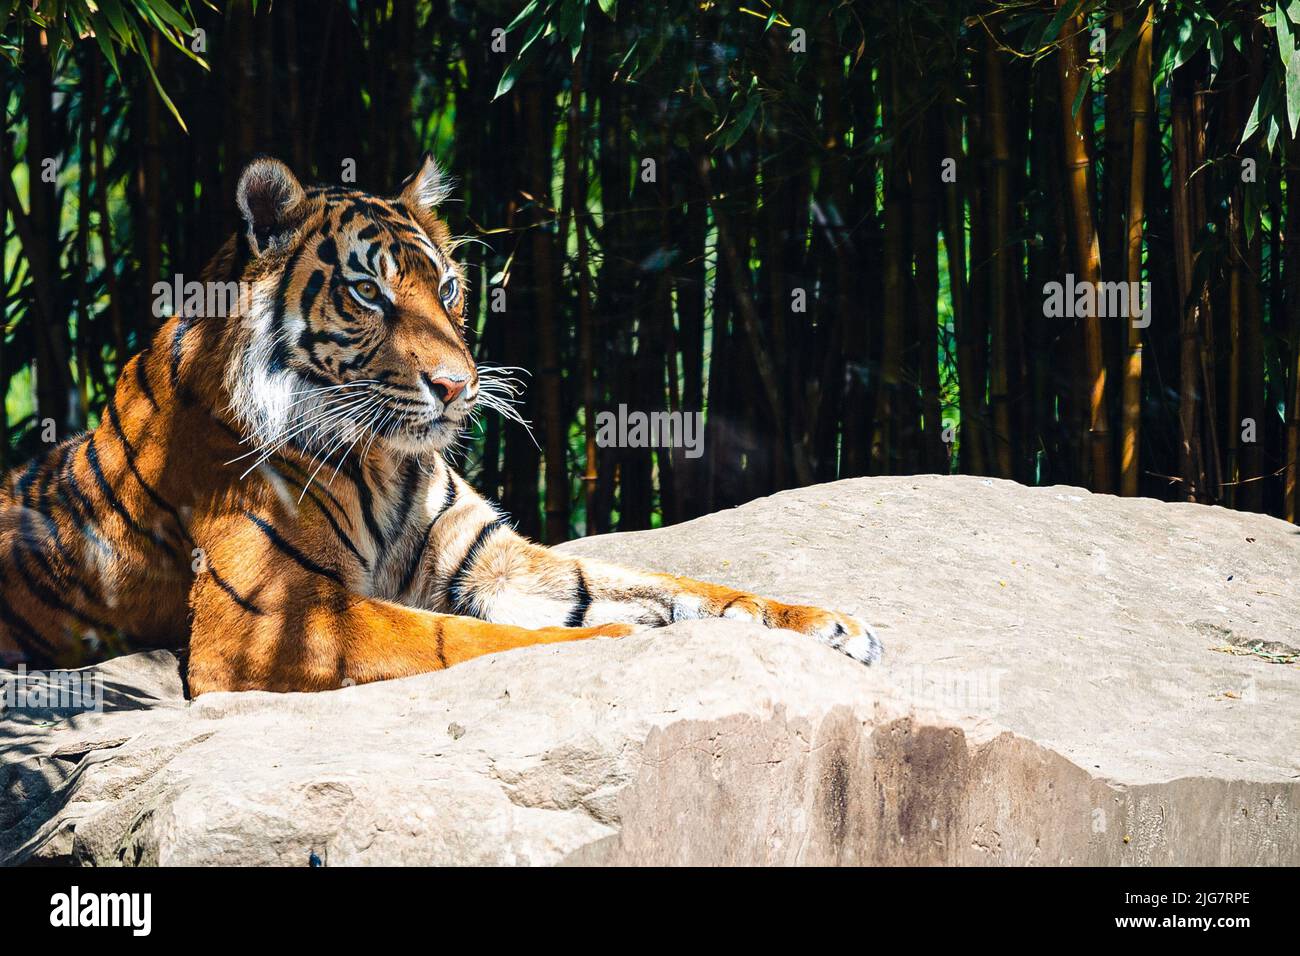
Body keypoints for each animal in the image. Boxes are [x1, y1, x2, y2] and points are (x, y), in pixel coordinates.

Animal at [0, 155, 881, 694]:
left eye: (450, 288)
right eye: (369, 293)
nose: (458, 385)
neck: (385, 460)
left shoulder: (483, 557)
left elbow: (664, 583)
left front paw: (824, 624)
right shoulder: (270, 619)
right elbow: (464, 640)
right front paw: (624, 642)